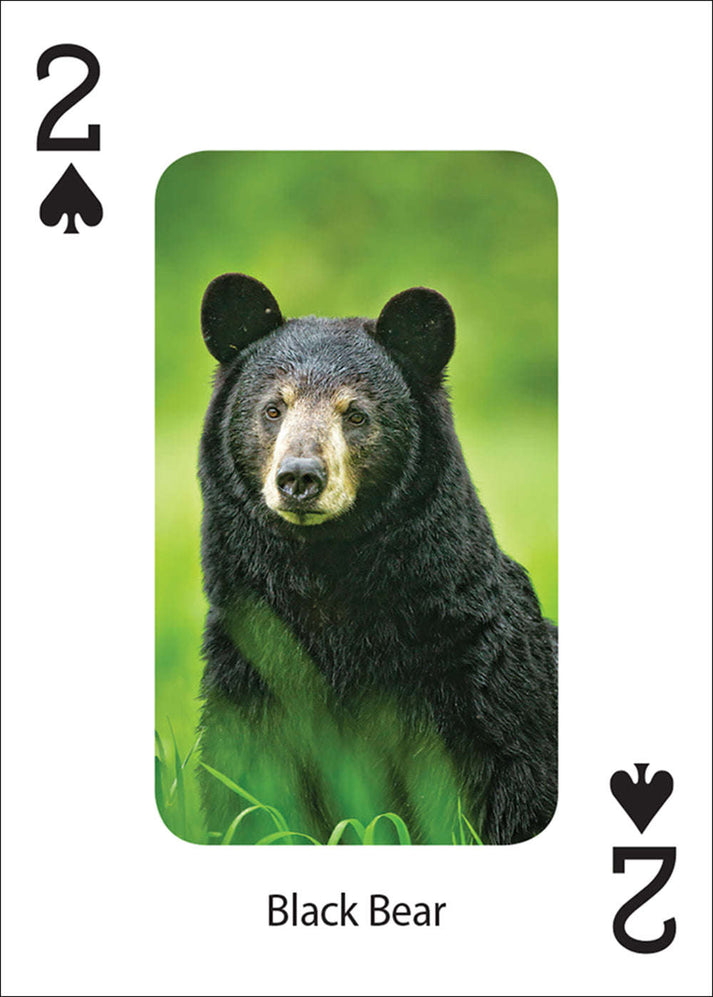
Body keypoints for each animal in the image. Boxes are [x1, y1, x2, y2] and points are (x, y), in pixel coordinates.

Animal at [197, 273, 557, 845]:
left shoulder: (475, 685)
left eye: (356, 414)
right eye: (274, 408)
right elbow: (246, 792)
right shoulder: (250, 668)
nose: (300, 476)